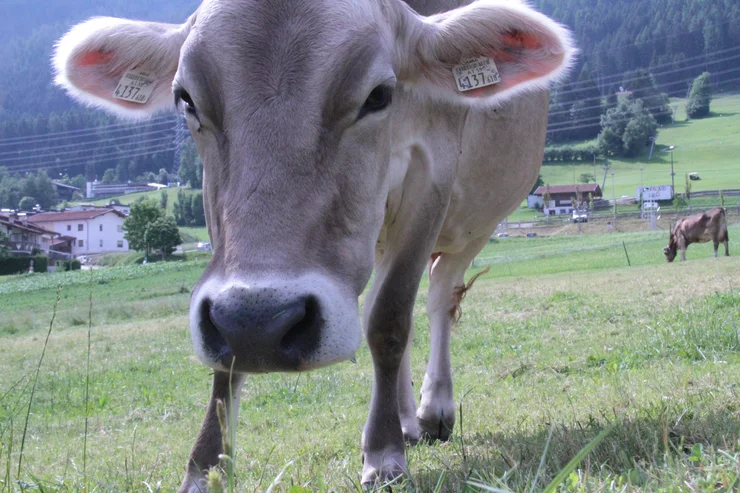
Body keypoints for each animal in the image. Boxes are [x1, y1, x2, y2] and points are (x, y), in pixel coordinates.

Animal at [53, 0, 574, 489]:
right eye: (186, 100)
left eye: (379, 95)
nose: (258, 324)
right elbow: (226, 362)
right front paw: (203, 471)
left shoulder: (432, 174)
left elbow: (389, 320)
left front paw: (383, 454)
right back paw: (406, 418)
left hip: (472, 225)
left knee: (438, 295)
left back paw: (433, 410)